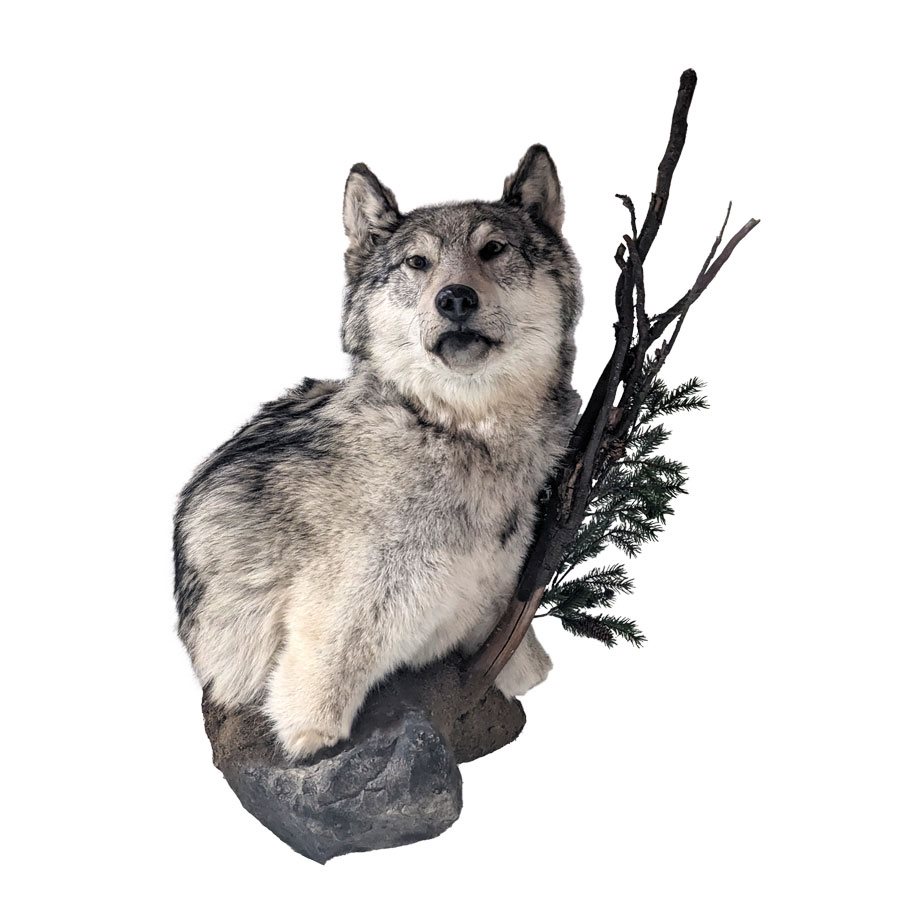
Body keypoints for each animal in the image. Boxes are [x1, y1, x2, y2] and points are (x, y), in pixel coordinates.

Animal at [174, 145, 583, 759]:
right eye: (417, 262)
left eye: (493, 249)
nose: (455, 297)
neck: (456, 433)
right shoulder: (338, 623)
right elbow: (316, 696)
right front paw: (312, 737)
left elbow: (524, 666)